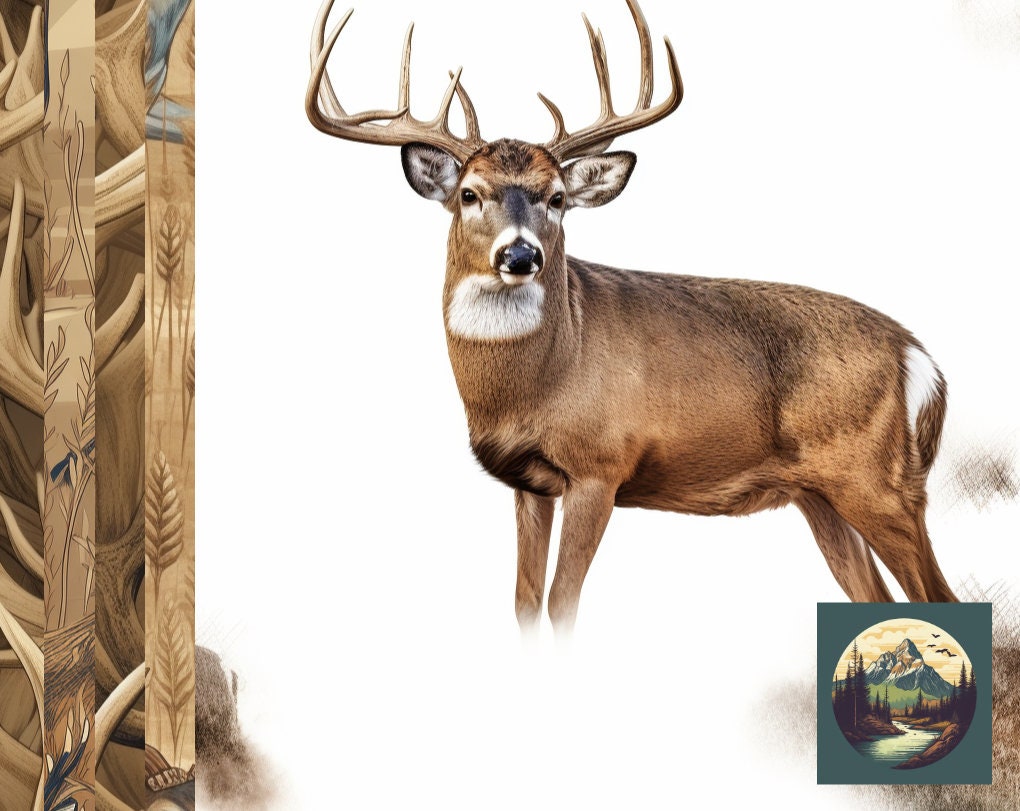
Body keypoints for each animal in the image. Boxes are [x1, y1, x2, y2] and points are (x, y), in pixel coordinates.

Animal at [306, 0, 959, 634]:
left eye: (557, 198)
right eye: (470, 193)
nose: (521, 255)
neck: (539, 382)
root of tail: (917, 356)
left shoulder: (600, 466)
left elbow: (562, 603)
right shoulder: (529, 484)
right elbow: (524, 604)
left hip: (877, 481)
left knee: (939, 595)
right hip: (820, 495)